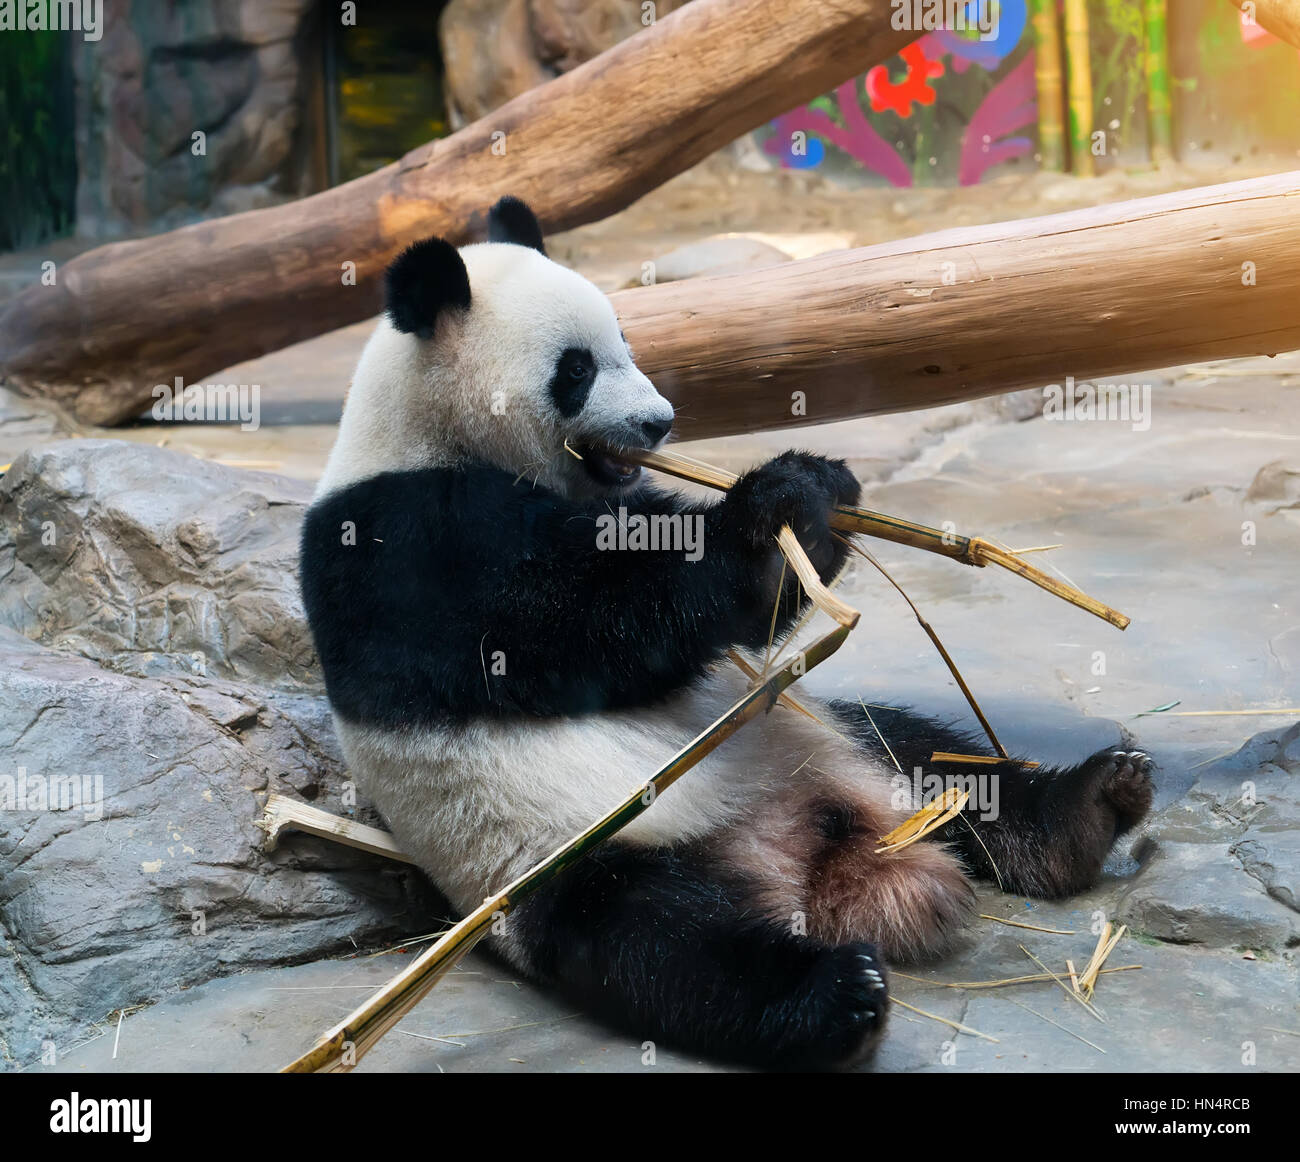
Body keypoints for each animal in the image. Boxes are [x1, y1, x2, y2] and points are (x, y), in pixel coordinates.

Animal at [300, 196, 1154, 1069]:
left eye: (627, 341)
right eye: (576, 368)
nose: (658, 422)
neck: (425, 428)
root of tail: (801, 861)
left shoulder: (616, 501)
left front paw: (822, 490)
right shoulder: (405, 541)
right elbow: (579, 624)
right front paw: (775, 509)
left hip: (833, 741)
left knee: (936, 761)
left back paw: (1085, 809)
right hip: (555, 856)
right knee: (661, 944)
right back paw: (834, 998)